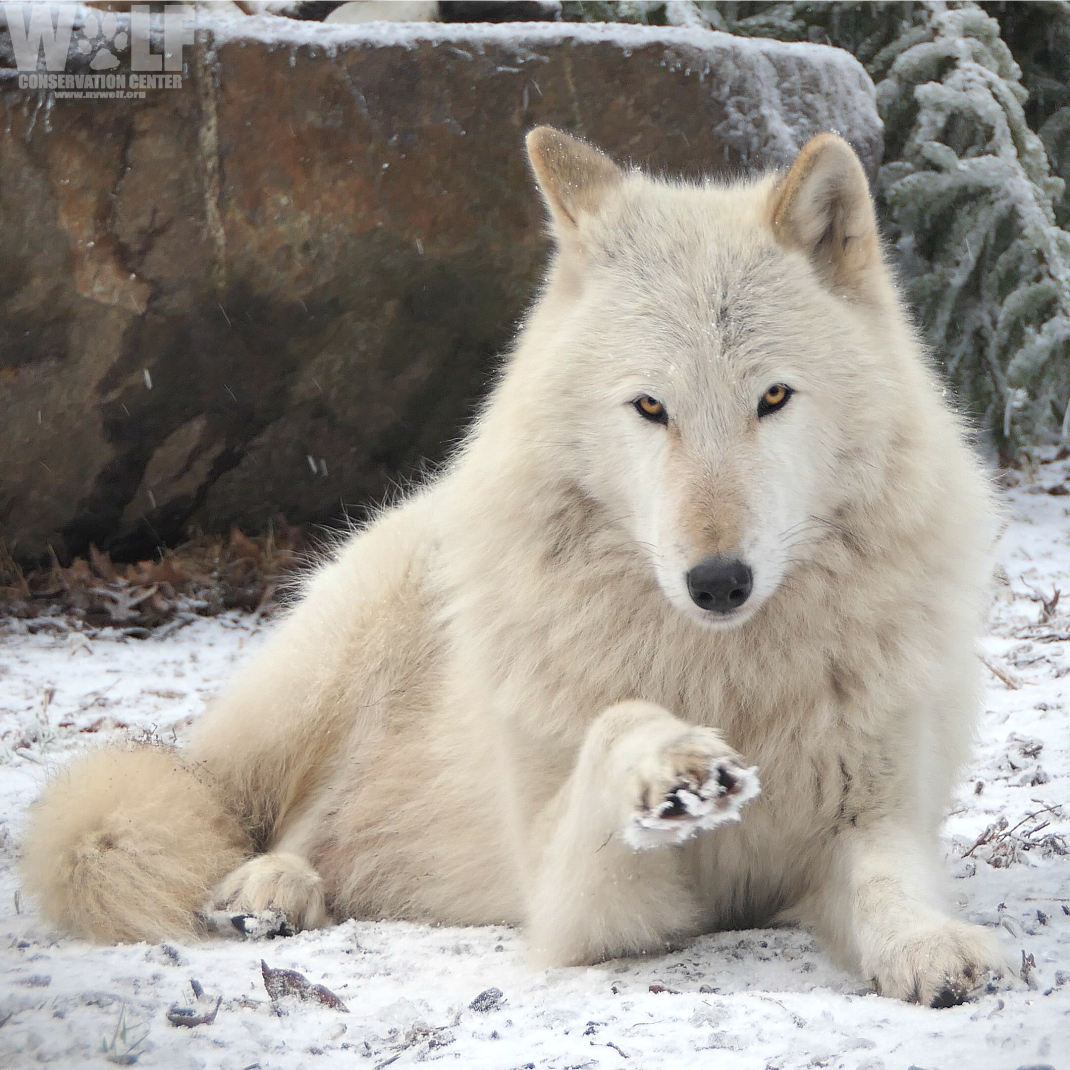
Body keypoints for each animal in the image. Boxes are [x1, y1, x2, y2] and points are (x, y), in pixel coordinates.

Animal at [22, 127, 1007, 1006]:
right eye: (650, 406)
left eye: (773, 397)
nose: (718, 582)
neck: (728, 673)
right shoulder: (588, 907)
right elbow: (616, 723)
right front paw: (668, 763)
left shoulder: (876, 817)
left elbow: (889, 887)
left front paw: (933, 946)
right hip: (339, 665)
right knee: (267, 815)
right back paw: (271, 886)